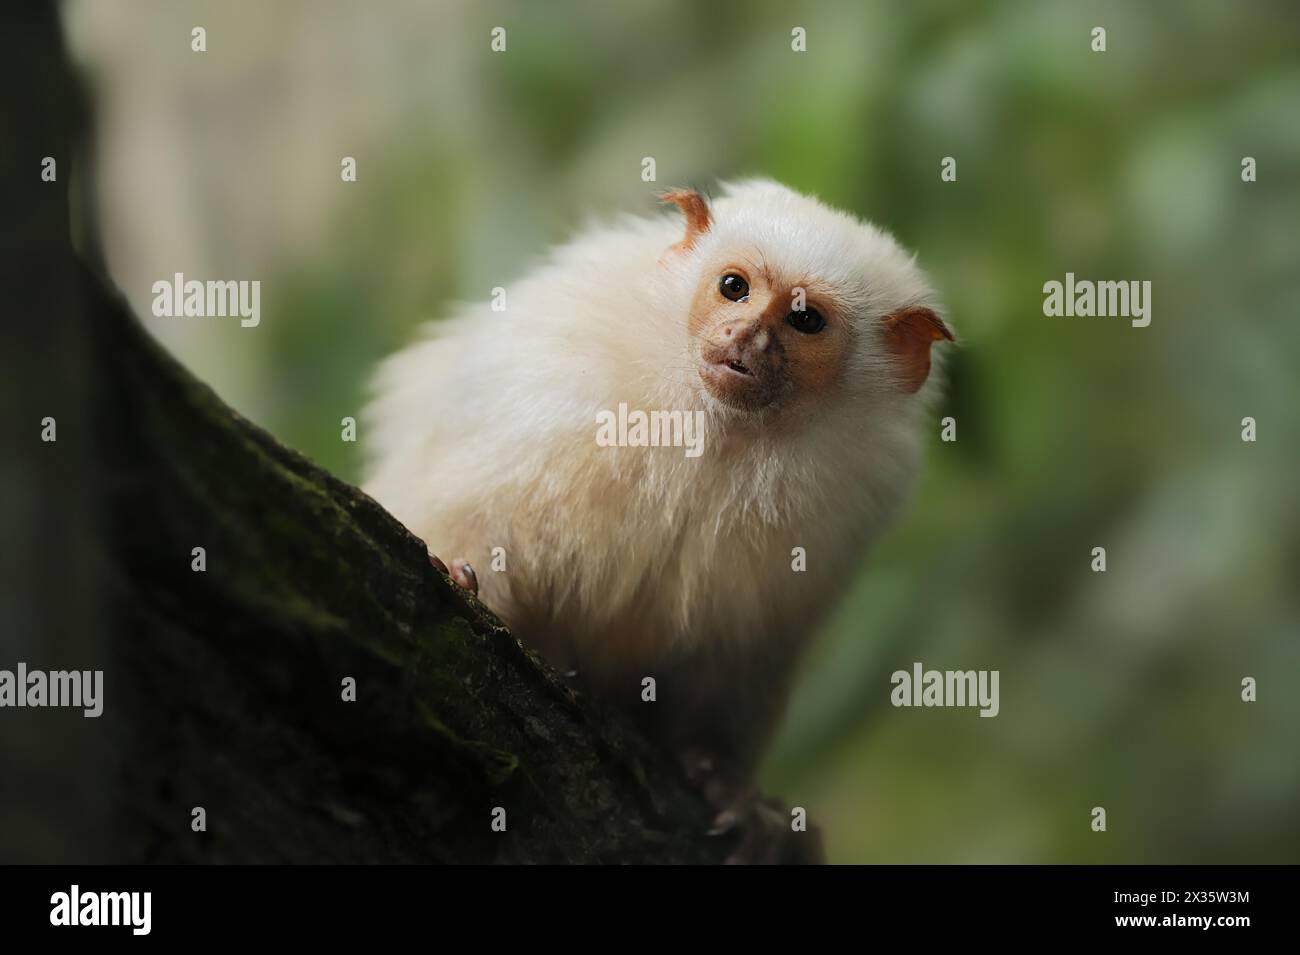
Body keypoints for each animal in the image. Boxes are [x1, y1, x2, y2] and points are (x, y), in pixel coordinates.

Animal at [363, 179, 952, 849]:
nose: (746, 337)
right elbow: (479, 504)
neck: (719, 431)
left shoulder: (846, 508)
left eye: (805, 321)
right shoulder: (553, 386)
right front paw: (460, 572)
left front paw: (730, 786)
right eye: (734, 288)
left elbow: (739, 658)